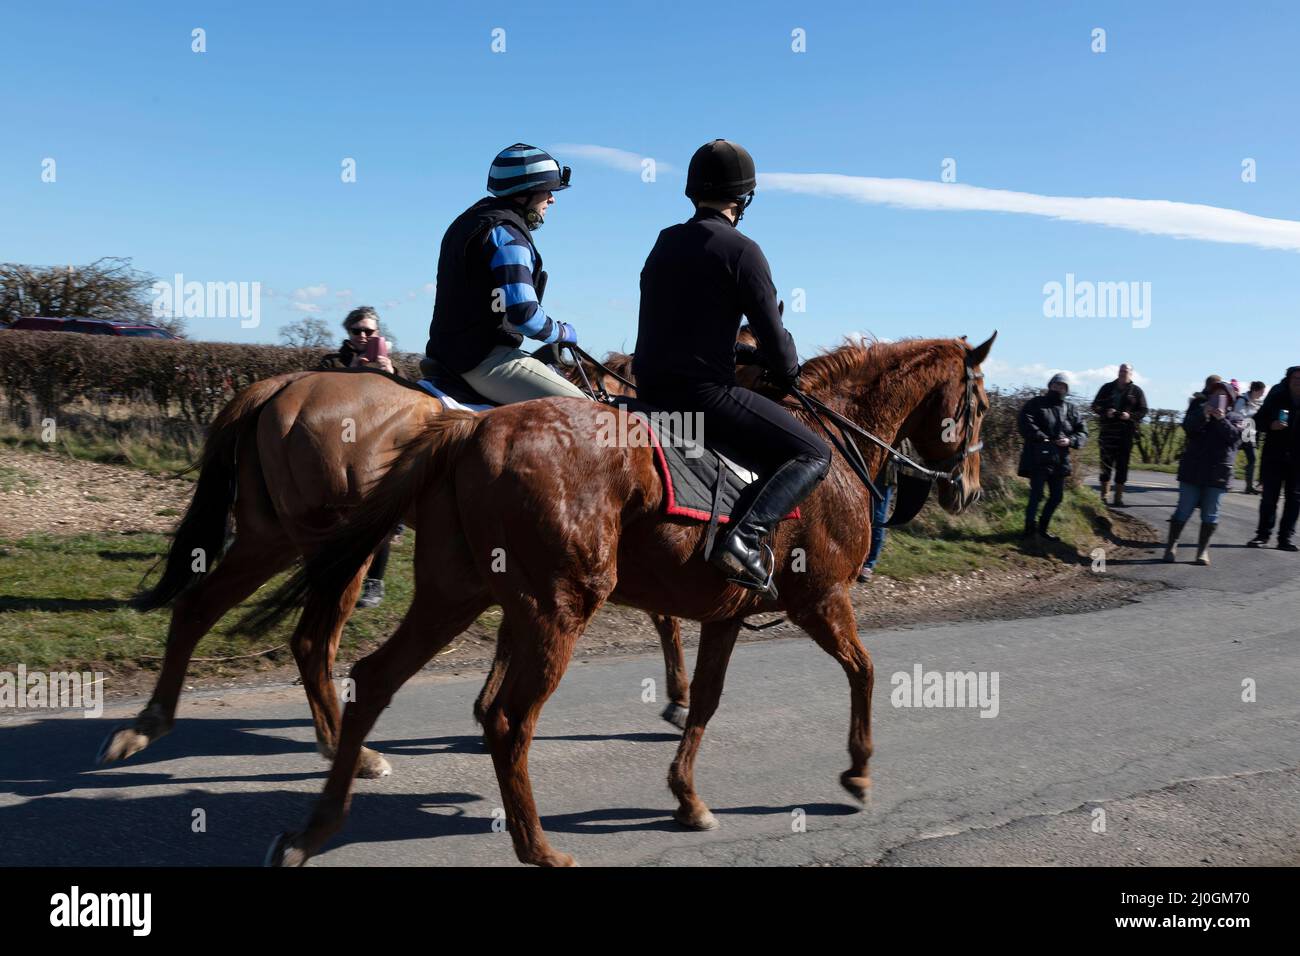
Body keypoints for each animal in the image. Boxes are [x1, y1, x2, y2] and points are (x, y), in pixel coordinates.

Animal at [97, 357, 693, 780]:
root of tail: (285, 385)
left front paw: (485, 706)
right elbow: (665, 616)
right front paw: (679, 701)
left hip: (272, 540)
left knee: (197, 607)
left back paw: (146, 726)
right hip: (337, 550)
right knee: (311, 642)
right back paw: (348, 751)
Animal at [258, 333, 995, 866]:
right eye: (982, 404)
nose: (969, 490)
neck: (836, 453)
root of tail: (471, 430)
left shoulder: (728, 616)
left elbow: (707, 701)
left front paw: (688, 798)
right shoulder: (822, 600)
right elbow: (864, 670)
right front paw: (859, 772)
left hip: (453, 594)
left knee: (373, 679)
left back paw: (313, 830)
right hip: (557, 608)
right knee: (507, 720)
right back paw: (539, 849)